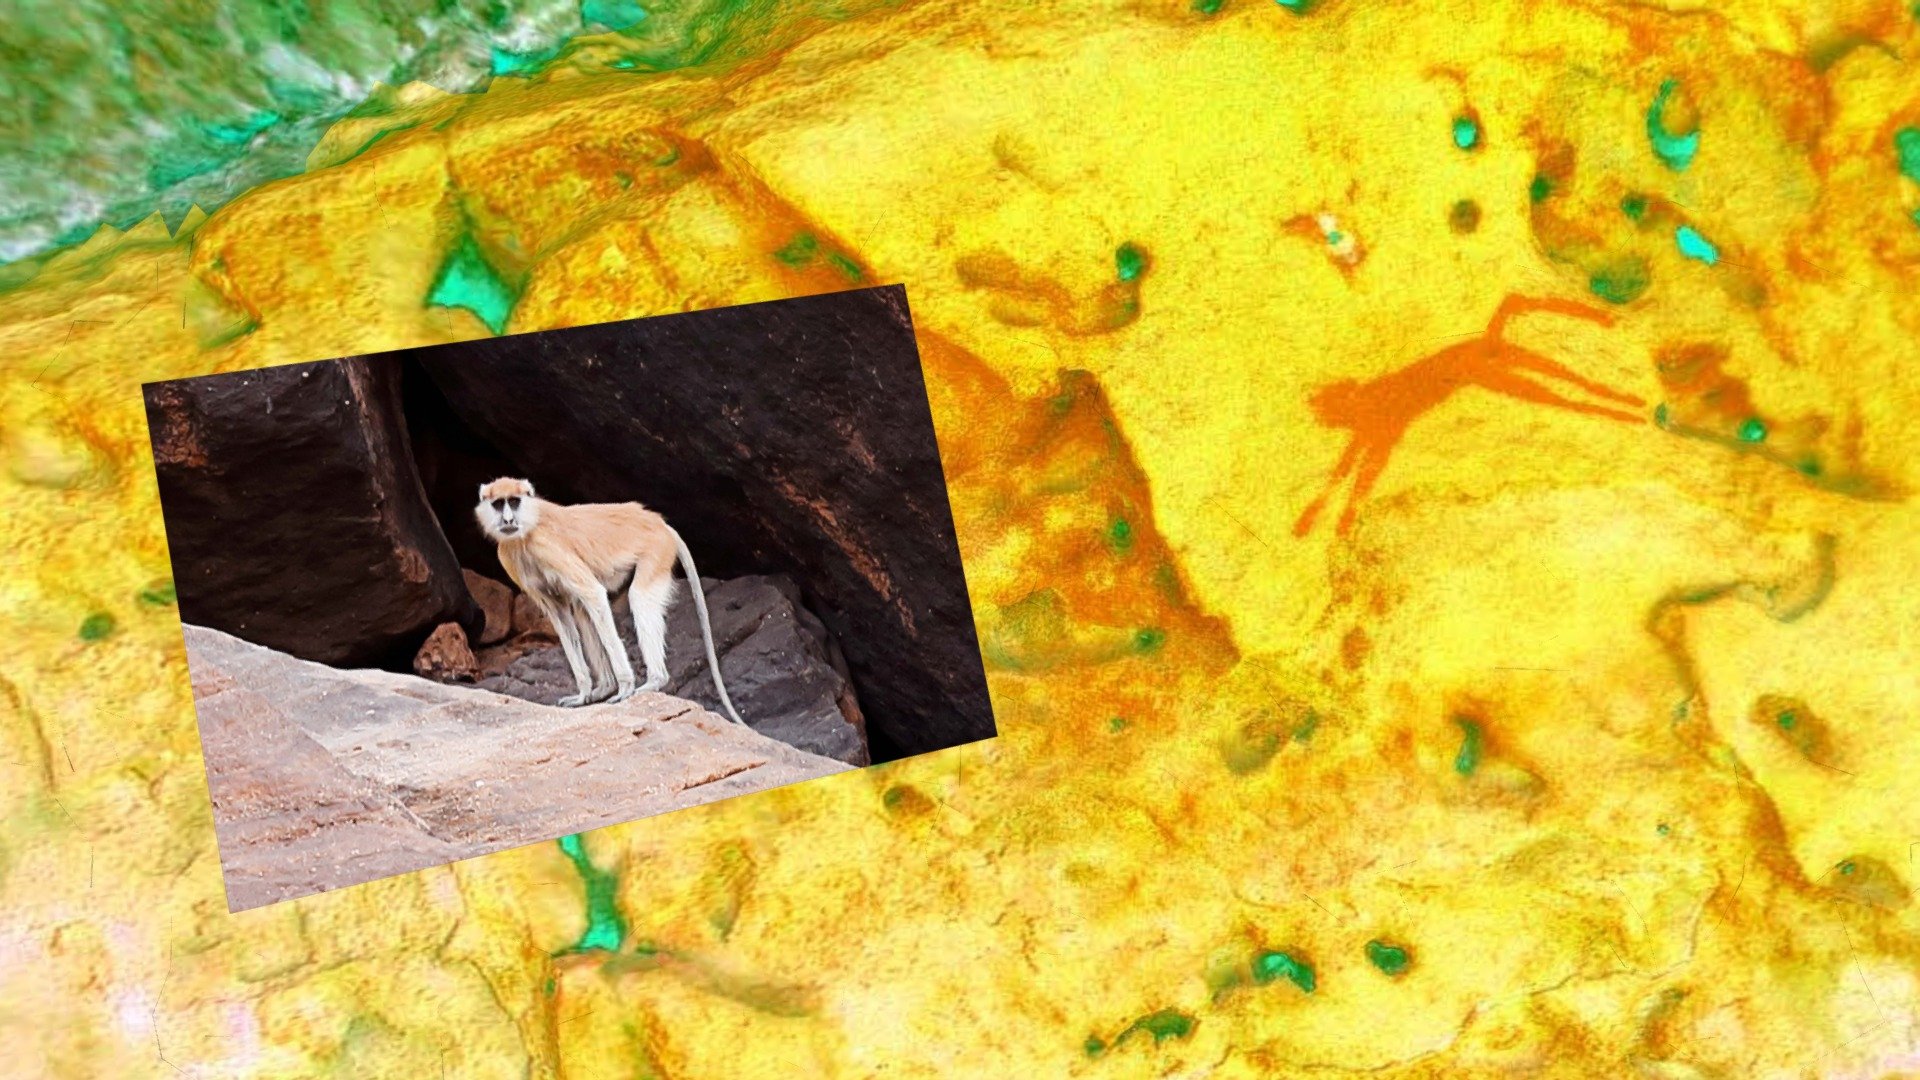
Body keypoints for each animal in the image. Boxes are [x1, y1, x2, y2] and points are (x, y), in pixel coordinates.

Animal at [473, 477, 746, 723]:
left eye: (514, 501)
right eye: (498, 504)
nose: (508, 520)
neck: (526, 530)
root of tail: (658, 523)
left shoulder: (547, 547)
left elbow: (593, 593)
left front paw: (624, 687)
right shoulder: (510, 558)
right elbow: (561, 617)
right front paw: (582, 694)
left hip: (657, 550)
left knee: (638, 597)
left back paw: (652, 682)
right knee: (582, 610)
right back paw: (604, 688)